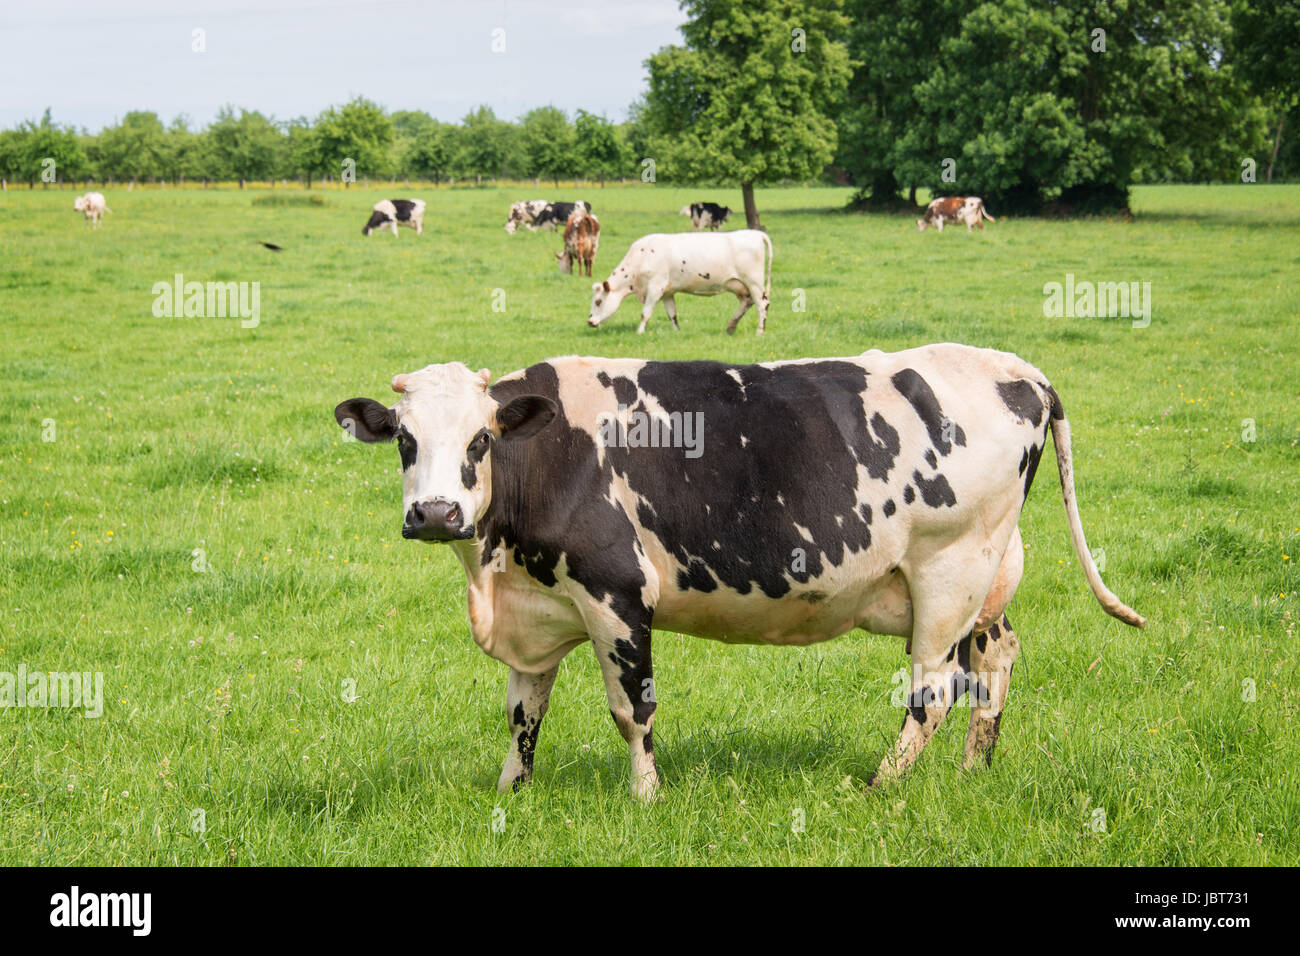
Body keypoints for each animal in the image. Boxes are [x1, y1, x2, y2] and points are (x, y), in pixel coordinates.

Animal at [332, 345, 1145, 799]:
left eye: (480, 440)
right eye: (404, 440)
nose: (436, 513)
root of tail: (1018, 369)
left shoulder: (616, 594)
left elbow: (632, 709)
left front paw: (647, 798)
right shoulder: (540, 607)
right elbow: (524, 712)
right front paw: (511, 794)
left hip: (950, 570)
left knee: (933, 691)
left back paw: (878, 787)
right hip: (988, 577)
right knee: (996, 659)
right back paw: (975, 771)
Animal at [588, 230, 773, 335]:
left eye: (598, 301)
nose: (589, 322)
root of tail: (755, 233)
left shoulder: (656, 287)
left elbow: (645, 313)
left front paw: (639, 332)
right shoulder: (667, 292)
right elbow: (672, 314)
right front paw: (676, 332)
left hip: (754, 282)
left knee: (762, 304)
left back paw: (760, 331)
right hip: (739, 285)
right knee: (746, 302)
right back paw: (731, 327)